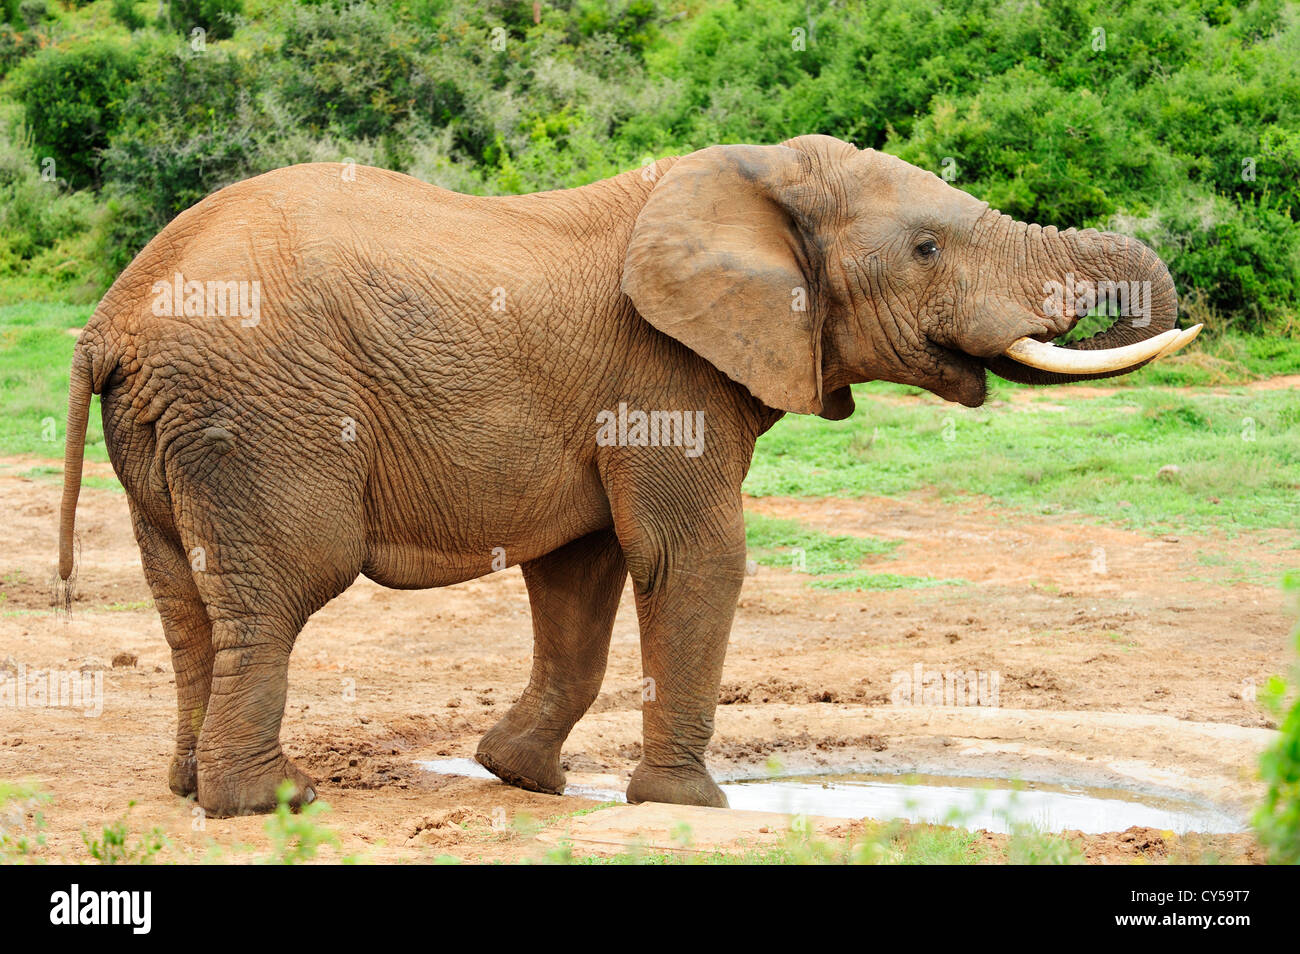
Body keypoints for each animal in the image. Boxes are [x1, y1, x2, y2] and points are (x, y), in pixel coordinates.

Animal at [57, 134, 1197, 816]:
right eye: (924, 248)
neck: (753, 179)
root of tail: (112, 317)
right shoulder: (665, 369)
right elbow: (694, 557)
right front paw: (694, 806)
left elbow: (582, 574)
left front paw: (525, 777)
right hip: (257, 414)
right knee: (282, 589)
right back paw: (273, 803)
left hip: (170, 429)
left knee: (187, 603)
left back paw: (186, 786)